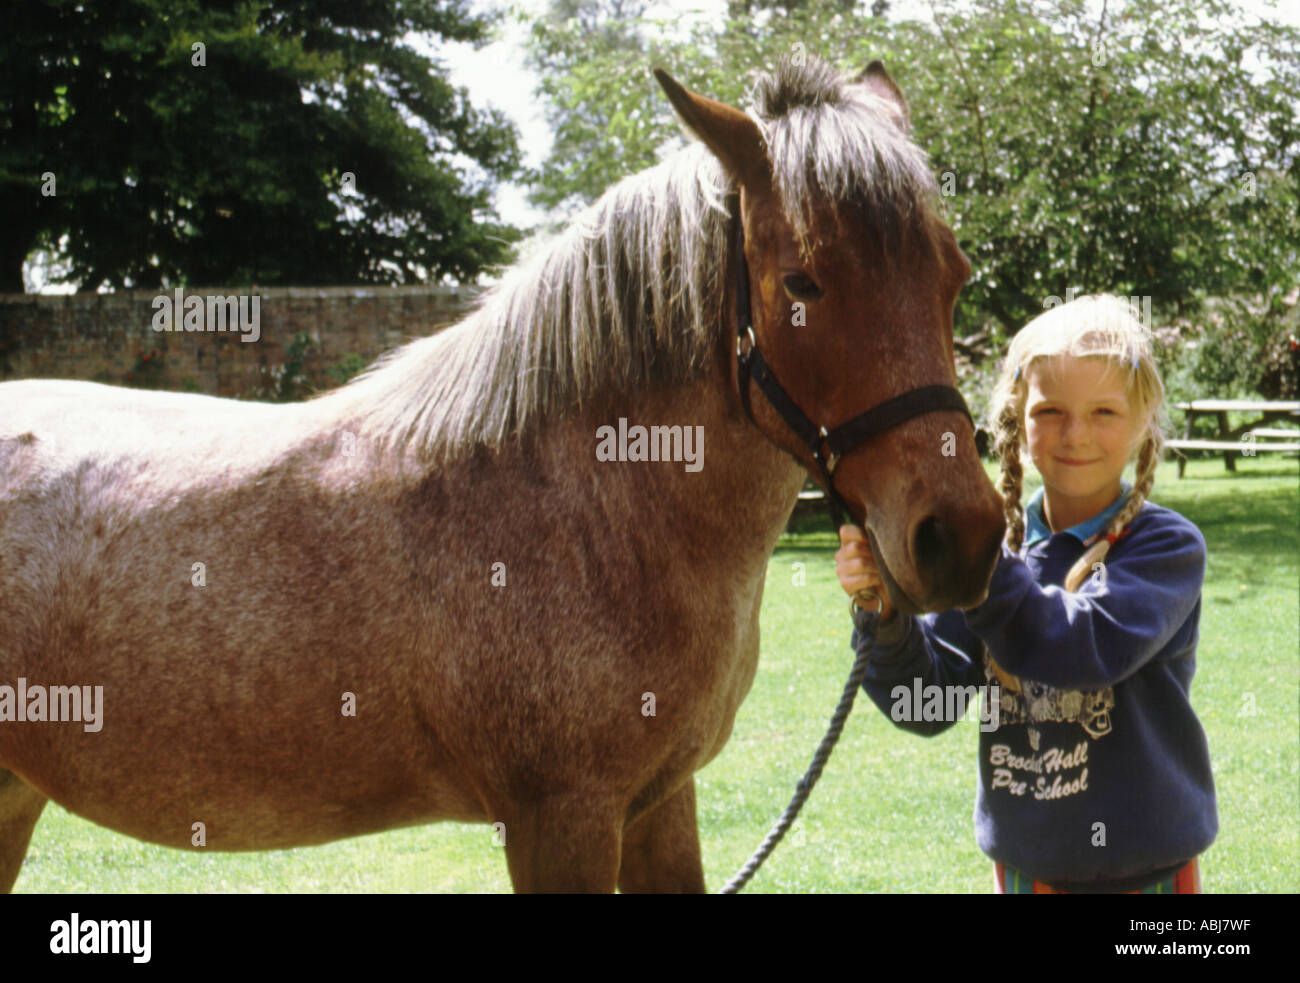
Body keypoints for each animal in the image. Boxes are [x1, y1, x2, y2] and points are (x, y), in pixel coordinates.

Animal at [0, 55, 1004, 893]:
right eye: (801, 284)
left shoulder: (658, 803)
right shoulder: (558, 818)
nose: (961, 537)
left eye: (953, 273)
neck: (587, 506)